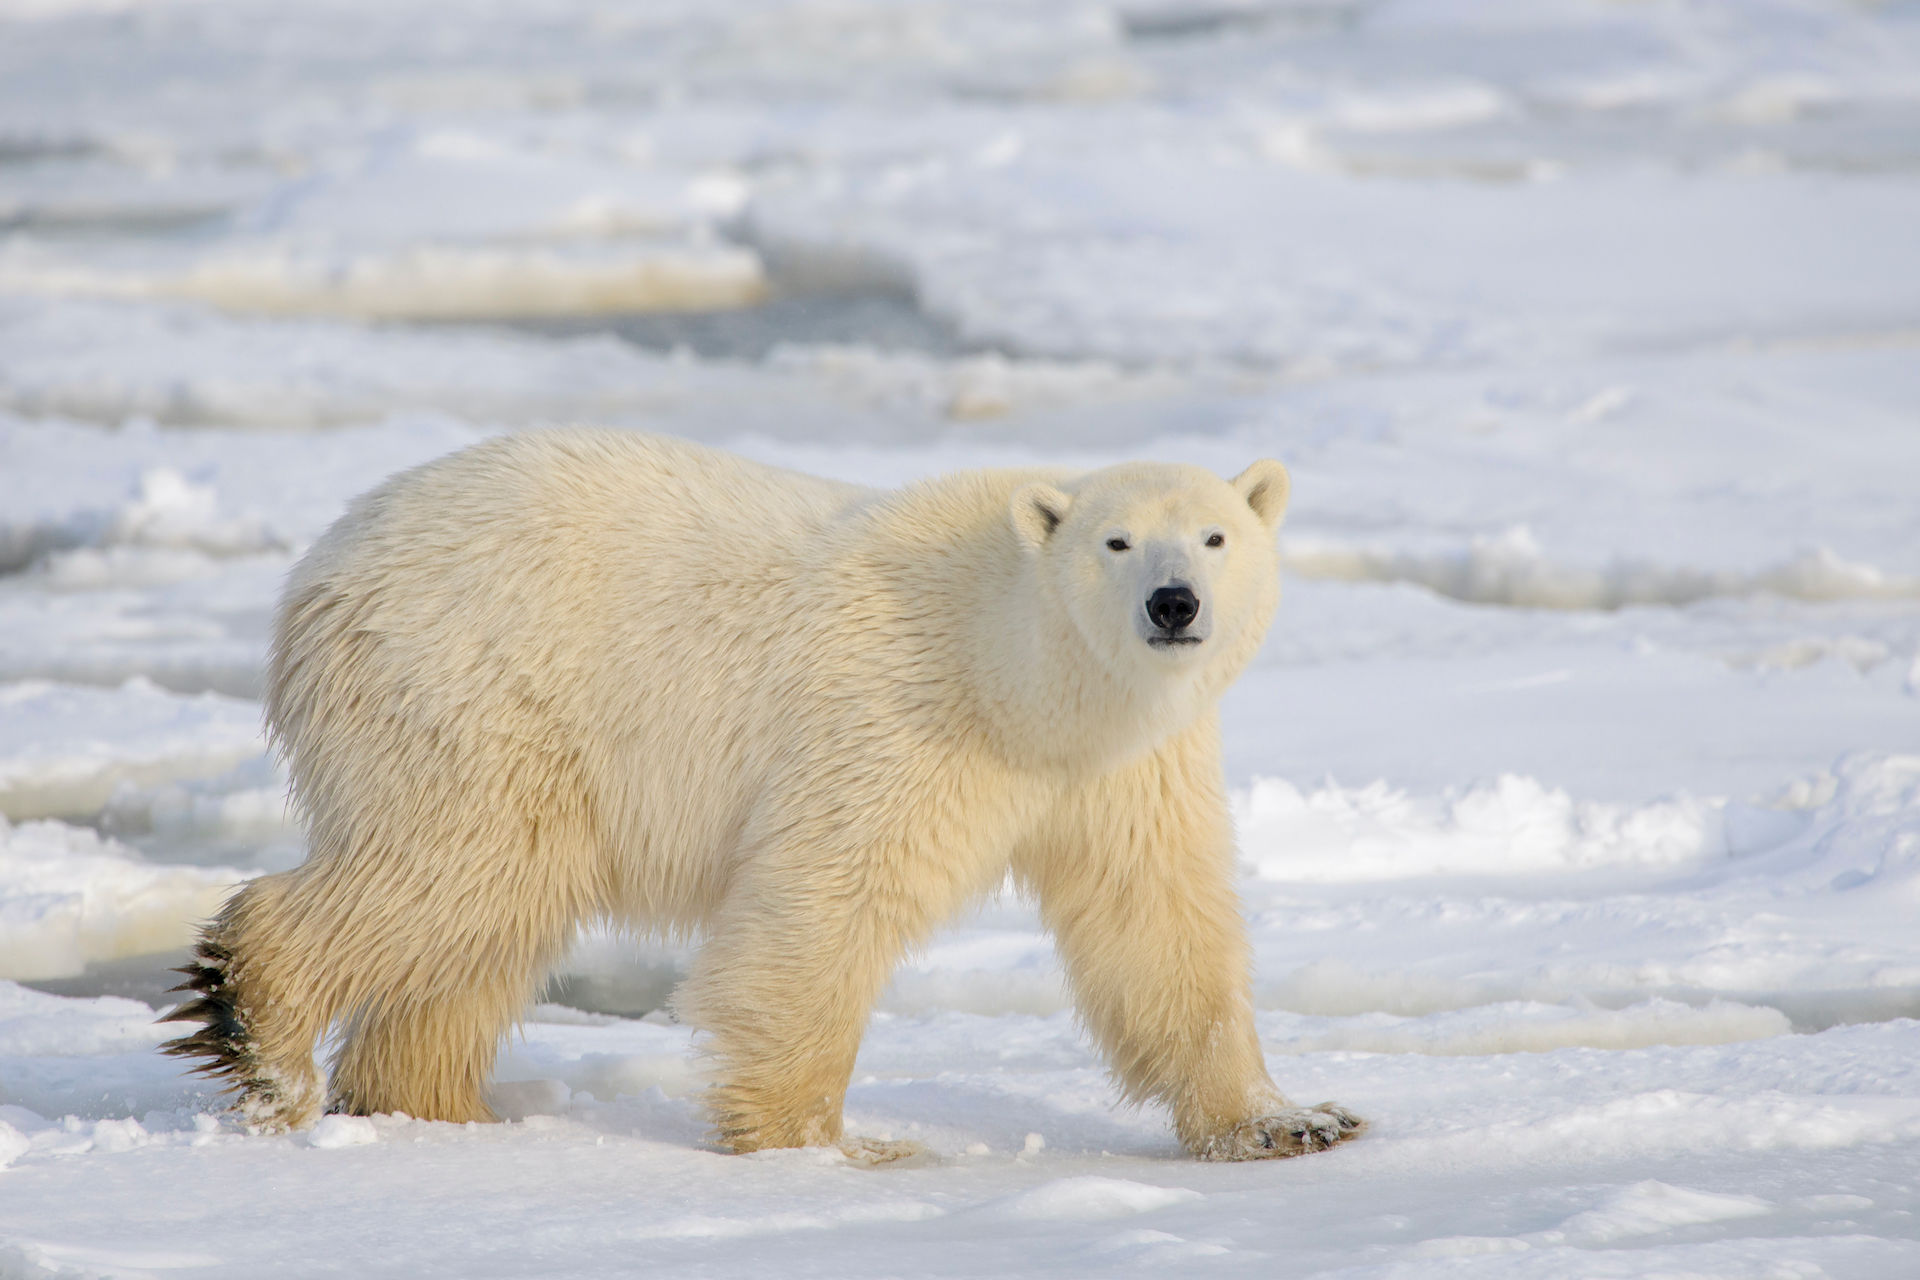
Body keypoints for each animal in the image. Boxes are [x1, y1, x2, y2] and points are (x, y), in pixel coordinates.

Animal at [164, 428, 1364, 1162]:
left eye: (1216, 533)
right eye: (1116, 540)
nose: (1173, 603)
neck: (1019, 679)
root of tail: (323, 566)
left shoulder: (1124, 770)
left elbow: (1159, 922)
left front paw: (1293, 1119)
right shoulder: (900, 722)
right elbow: (823, 905)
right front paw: (831, 1144)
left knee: (488, 919)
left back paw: (435, 1103)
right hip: (476, 687)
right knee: (457, 868)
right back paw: (256, 1027)